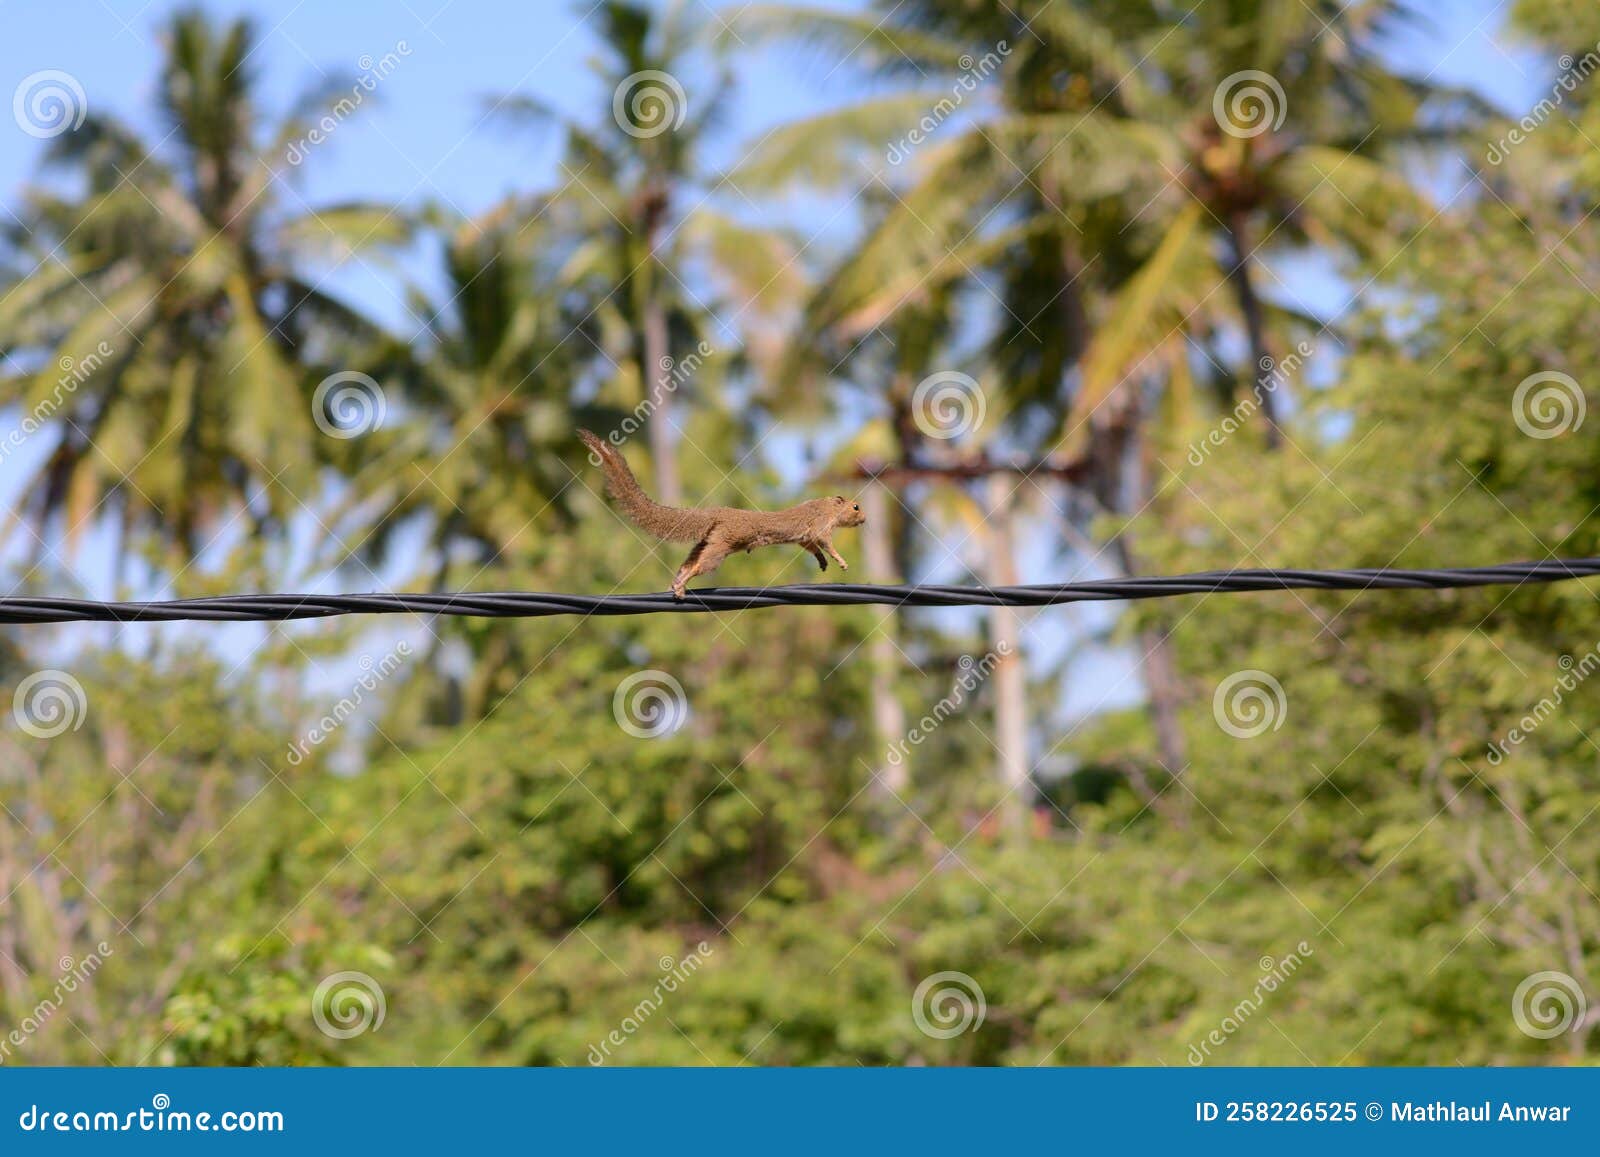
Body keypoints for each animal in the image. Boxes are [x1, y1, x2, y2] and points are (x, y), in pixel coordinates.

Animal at [578, 429, 865, 599]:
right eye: (856, 507)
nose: (864, 519)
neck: (828, 506)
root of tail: (716, 513)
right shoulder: (820, 524)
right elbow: (825, 541)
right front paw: (840, 561)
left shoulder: (805, 537)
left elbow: (811, 546)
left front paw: (822, 562)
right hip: (722, 544)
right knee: (700, 565)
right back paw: (682, 585)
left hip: (709, 541)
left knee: (689, 563)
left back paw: (677, 582)